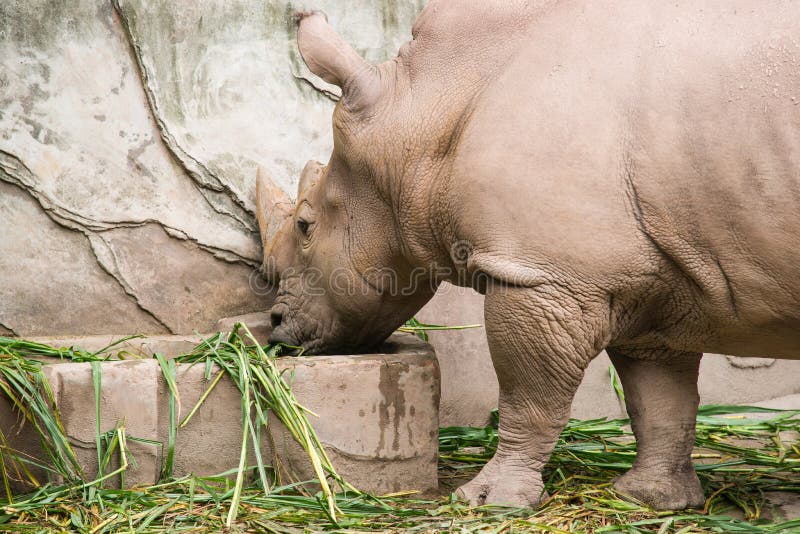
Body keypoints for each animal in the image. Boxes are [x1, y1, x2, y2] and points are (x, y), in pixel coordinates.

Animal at [254, 0, 800, 510]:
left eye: (305, 226)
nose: (276, 324)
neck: (424, 106)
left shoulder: (541, 273)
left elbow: (528, 395)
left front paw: (486, 499)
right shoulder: (651, 273)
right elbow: (660, 399)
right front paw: (648, 499)